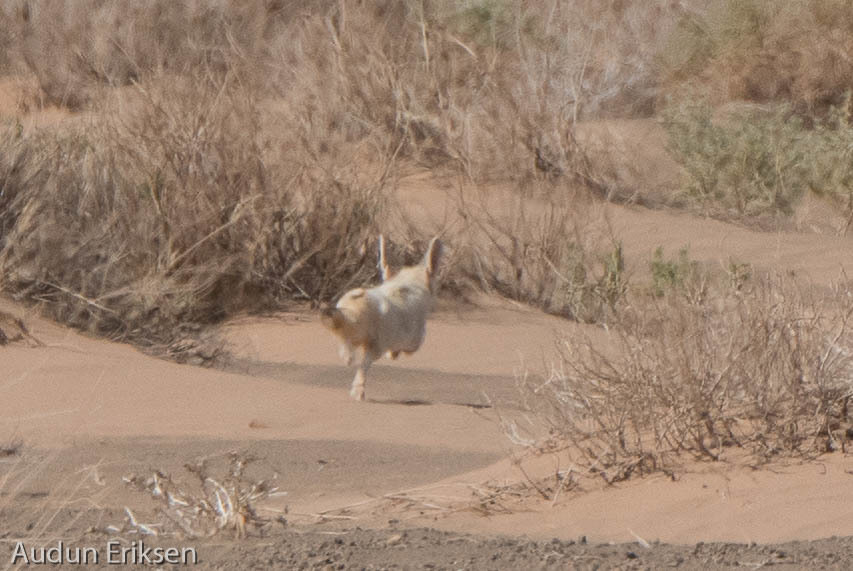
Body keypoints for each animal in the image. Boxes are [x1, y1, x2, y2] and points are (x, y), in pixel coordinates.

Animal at [321, 235, 443, 401]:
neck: (409, 282)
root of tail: (353, 310)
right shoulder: (413, 340)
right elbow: (404, 350)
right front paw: (392, 354)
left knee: (348, 346)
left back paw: (348, 358)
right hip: (376, 347)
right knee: (362, 365)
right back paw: (358, 390)